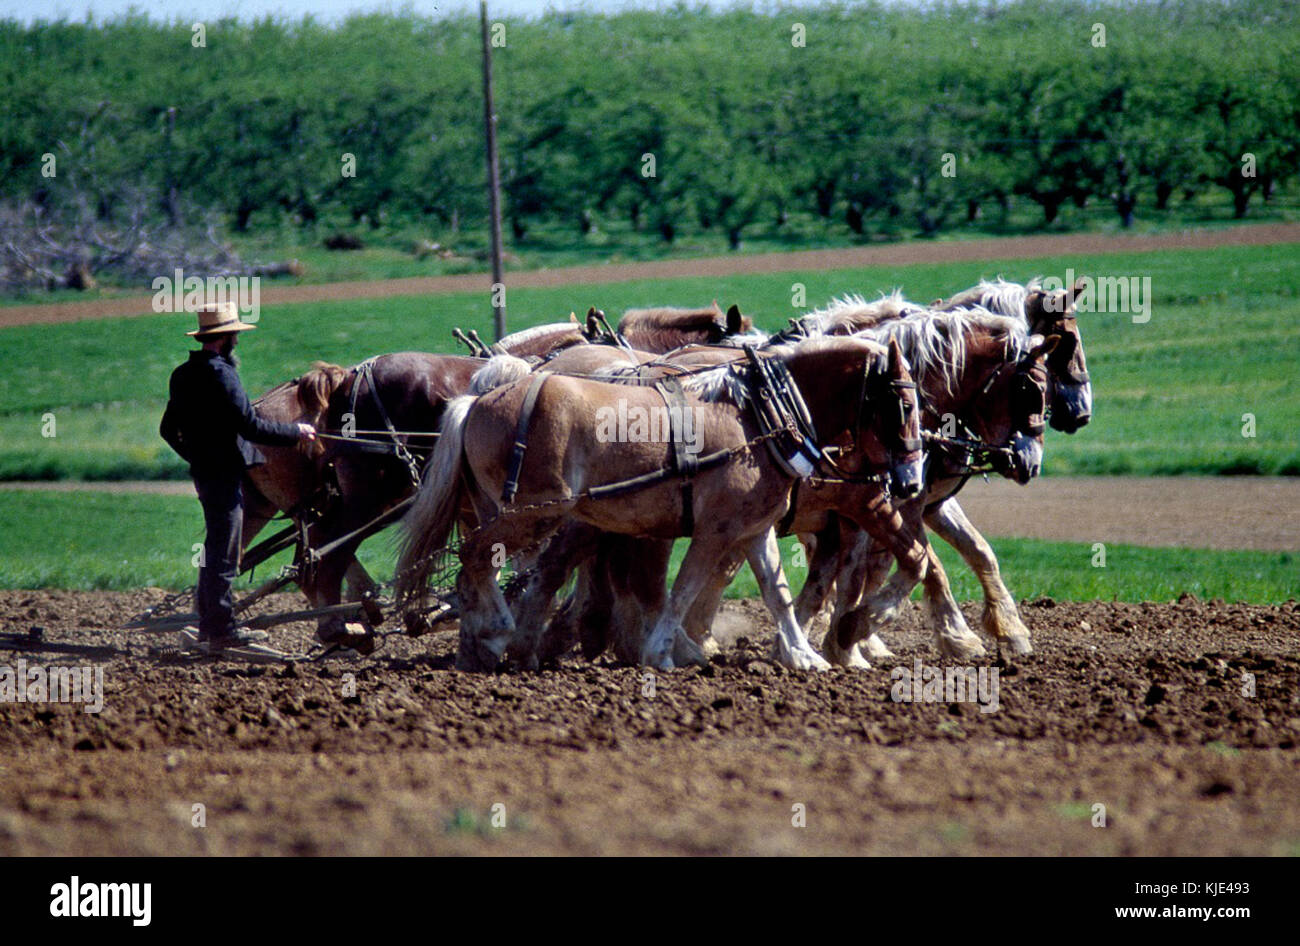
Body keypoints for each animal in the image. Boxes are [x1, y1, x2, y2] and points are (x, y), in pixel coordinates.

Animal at [396, 336, 924, 673]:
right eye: (904, 405)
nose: (912, 481)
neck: (759, 414)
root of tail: (477, 401)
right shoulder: (715, 530)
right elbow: (684, 589)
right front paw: (662, 653)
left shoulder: (754, 528)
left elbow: (776, 592)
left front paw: (802, 656)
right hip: (531, 515)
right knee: (477, 558)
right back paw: (499, 632)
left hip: (503, 511)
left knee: (482, 568)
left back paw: (484, 645)